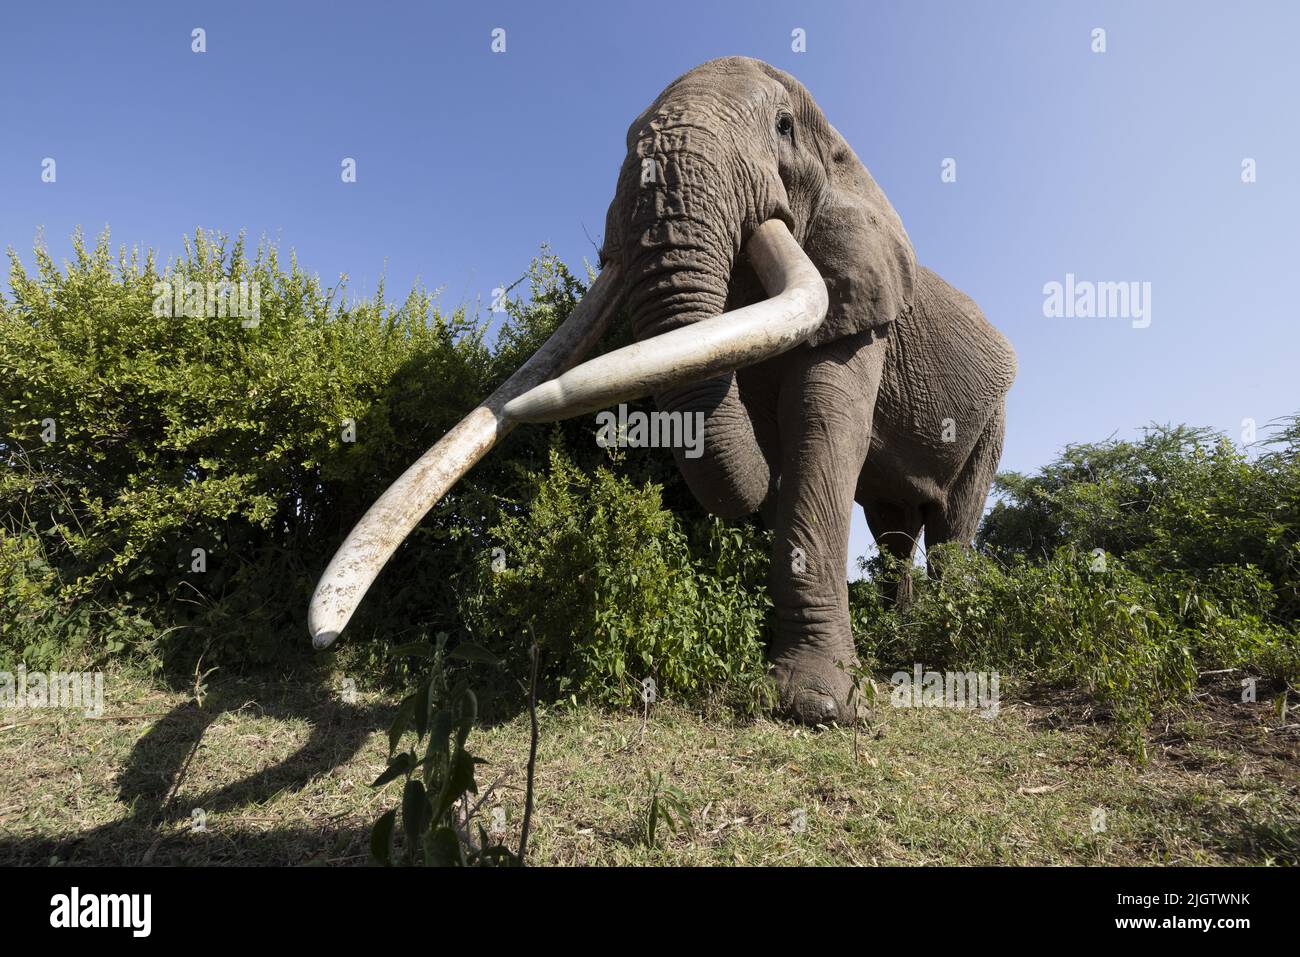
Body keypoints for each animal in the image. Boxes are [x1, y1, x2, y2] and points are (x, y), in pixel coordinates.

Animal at [308, 57, 1017, 726]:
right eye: (625, 138)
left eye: (784, 127)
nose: (324, 639)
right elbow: (765, 437)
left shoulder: (861, 298)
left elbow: (821, 429)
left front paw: (822, 707)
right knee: (893, 528)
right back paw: (903, 631)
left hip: (994, 418)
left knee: (950, 526)